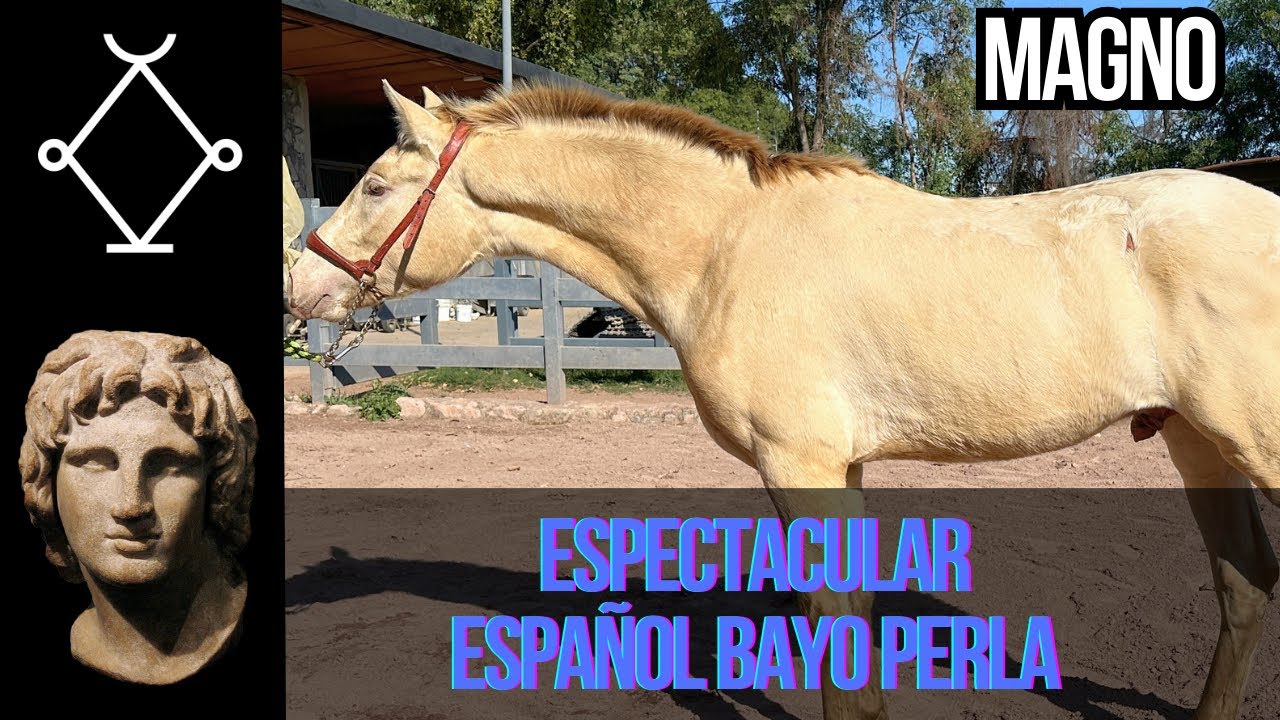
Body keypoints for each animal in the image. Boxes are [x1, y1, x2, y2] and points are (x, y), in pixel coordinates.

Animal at [287, 81, 1279, 720]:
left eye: (375, 185)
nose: (299, 287)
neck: (726, 247)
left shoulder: (798, 462)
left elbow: (838, 644)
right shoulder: (838, 468)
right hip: (1198, 444)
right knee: (1244, 589)